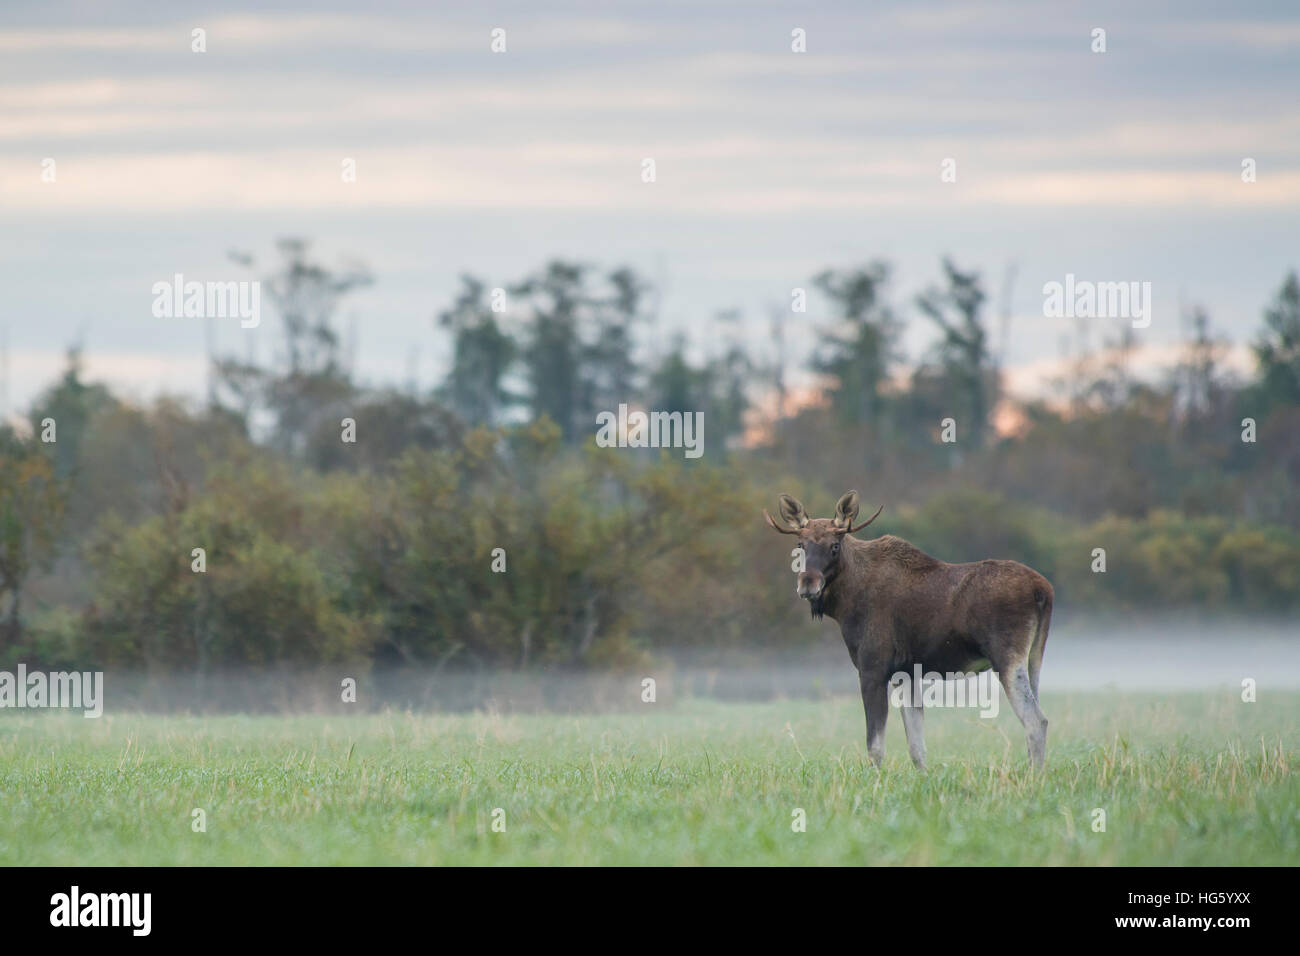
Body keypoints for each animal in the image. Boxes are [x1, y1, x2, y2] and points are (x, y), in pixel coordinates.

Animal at [764, 490, 1053, 770]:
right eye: (800, 545)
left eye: (834, 546)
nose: (807, 584)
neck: (845, 602)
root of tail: (1044, 591)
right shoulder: (907, 673)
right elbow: (917, 748)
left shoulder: (872, 669)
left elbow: (875, 747)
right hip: (1033, 659)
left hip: (1007, 659)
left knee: (1036, 721)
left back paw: (1034, 777)